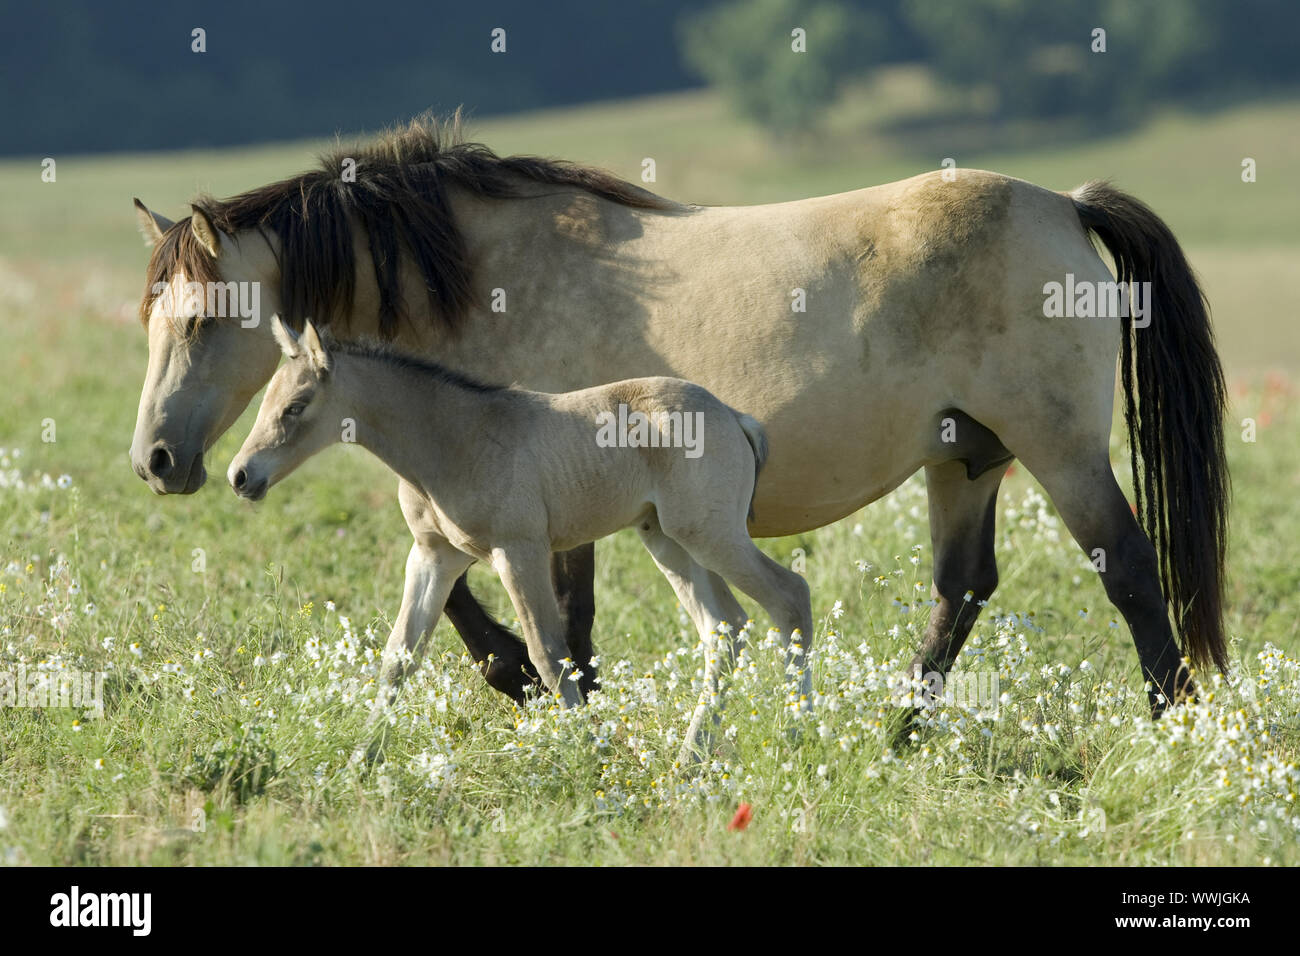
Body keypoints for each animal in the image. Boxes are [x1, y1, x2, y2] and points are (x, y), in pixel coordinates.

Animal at [128, 114, 1229, 717]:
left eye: (199, 318)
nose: (156, 459)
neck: (482, 277)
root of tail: (1065, 203)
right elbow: (479, 607)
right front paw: (534, 688)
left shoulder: (537, 501)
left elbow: (555, 625)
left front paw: (534, 689)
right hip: (966, 458)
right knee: (959, 591)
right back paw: (892, 738)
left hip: (1060, 450)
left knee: (1129, 574)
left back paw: (1169, 725)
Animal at [228, 316, 812, 763]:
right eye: (265, 400)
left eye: (297, 406)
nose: (240, 476)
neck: (452, 439)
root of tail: (735, 417)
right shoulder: (434, 556)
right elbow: (399, 656)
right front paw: (359, 762)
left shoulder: (519, 550)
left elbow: (549, 656)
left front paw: (596, 758)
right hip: (668, 540)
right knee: (724, 629)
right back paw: (691, 757)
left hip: (709, 534)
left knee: (790, 596)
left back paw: (795, 733)